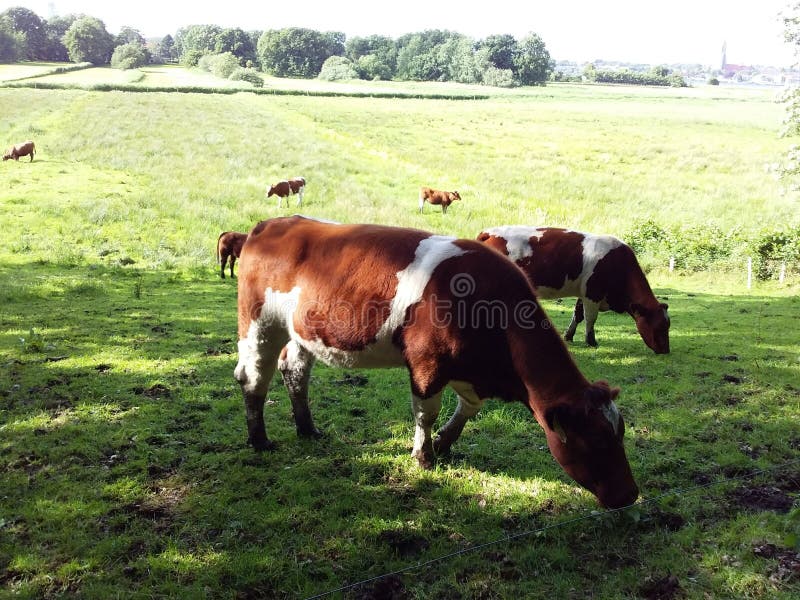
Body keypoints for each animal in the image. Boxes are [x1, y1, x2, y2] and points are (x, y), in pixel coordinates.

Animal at [234, 216, 639, 509]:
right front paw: (424, 455)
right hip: (260, 323)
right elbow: (426, 413)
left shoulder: (467, 370)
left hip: (303, 330)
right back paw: (259, 439)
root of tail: (270, 223)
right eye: (595, 440)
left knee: (294, 371)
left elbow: (469, 408)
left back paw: (307, 429)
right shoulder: (427, 364)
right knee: (254, 377)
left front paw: (444, 442)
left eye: (619, 433)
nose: (630, 495)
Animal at [477, 226, 670, 354]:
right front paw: (591, 341)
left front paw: (569, 336)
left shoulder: (584, 293)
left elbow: (578, 314)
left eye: (668, 326)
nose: (666, 350)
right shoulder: (593, 294)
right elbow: (590, 318)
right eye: (659, 327)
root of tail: (488, 232)